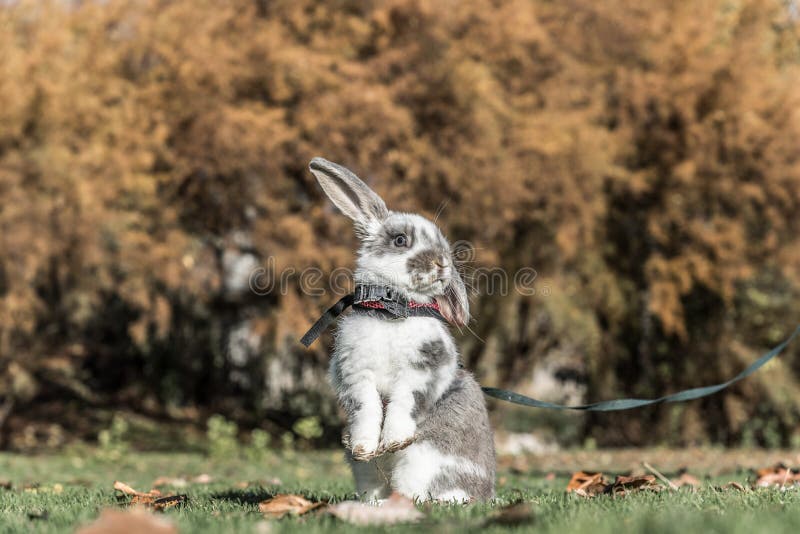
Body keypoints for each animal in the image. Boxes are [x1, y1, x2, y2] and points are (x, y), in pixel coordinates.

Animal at [308, 157, 496, 502]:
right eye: (400, 240)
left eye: (443, 245)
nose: (441, 263)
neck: (392, 309)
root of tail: (484, 495)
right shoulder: (357, 374)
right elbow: (367, 408)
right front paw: (365, 446)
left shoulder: (421, 369)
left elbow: (404, 402)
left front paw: (393, 440)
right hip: (368, 474)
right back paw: (372, 504)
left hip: (425, 459)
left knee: (417, 495)